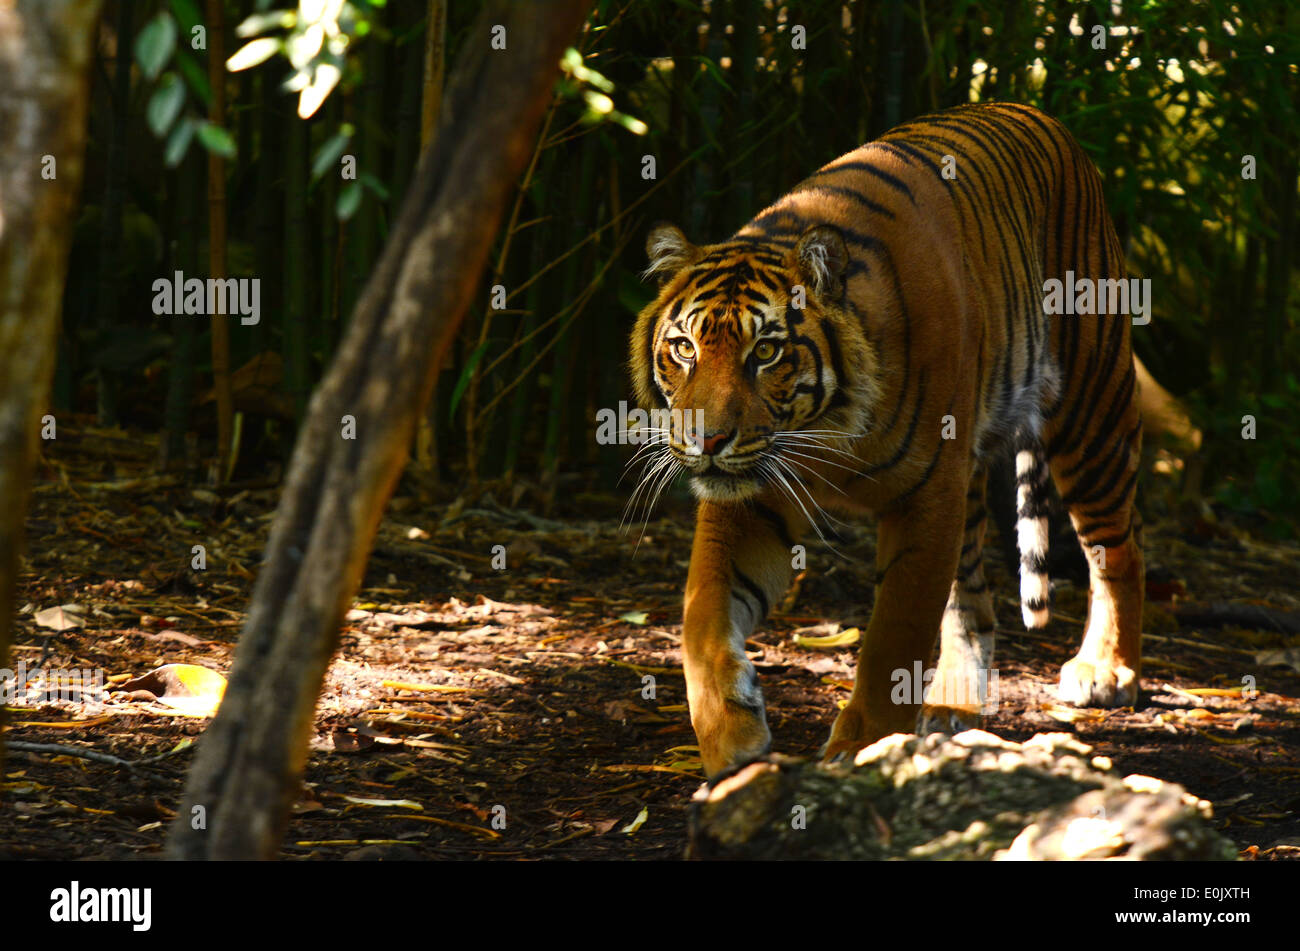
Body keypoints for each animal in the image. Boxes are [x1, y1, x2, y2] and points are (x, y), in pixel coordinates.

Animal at [629, 101, 1144, 779]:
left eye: (765, 352)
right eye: (684, 347)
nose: (706, 440)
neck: (822, 435)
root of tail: (1037, 112)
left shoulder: (926, 499)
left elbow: (893, 639)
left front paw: (862, 751)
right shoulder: (752, 498)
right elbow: (702, 616)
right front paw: (732, 738)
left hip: (1091, 411)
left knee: (1117, 549)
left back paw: (1106, 671)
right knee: (975, 604)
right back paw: (952, 709)